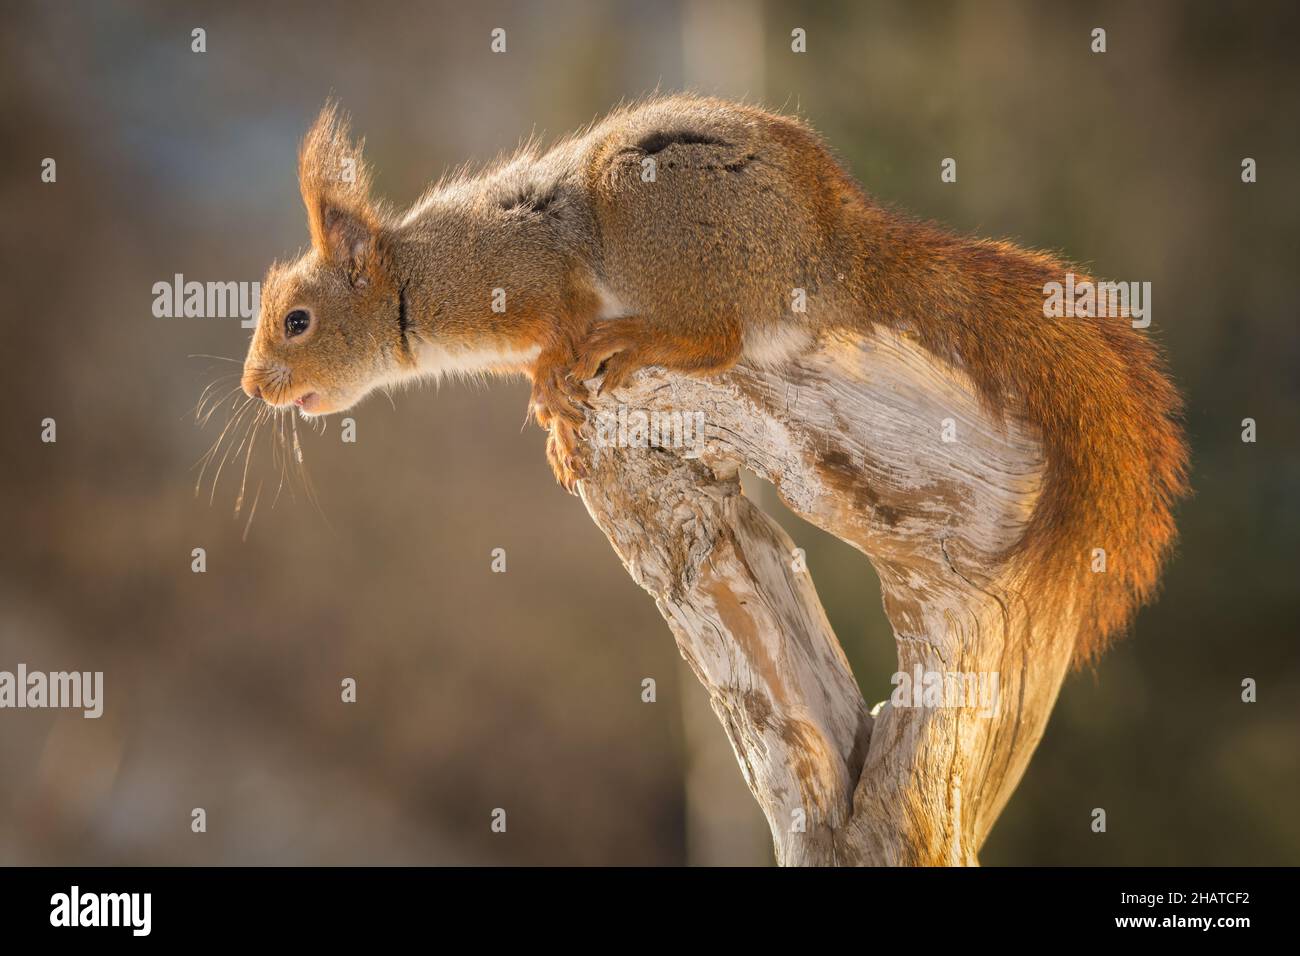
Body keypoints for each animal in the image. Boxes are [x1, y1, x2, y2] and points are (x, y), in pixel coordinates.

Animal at [240, 94, 1188, 666]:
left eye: (297, 321)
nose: (254, 389)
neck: (413, 285)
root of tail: (830, 243)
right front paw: (550, 410)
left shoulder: (523, 276)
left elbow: (558, 329)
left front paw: (554, 394)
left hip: (654, 217)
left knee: (720, 337)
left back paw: (630, 340)